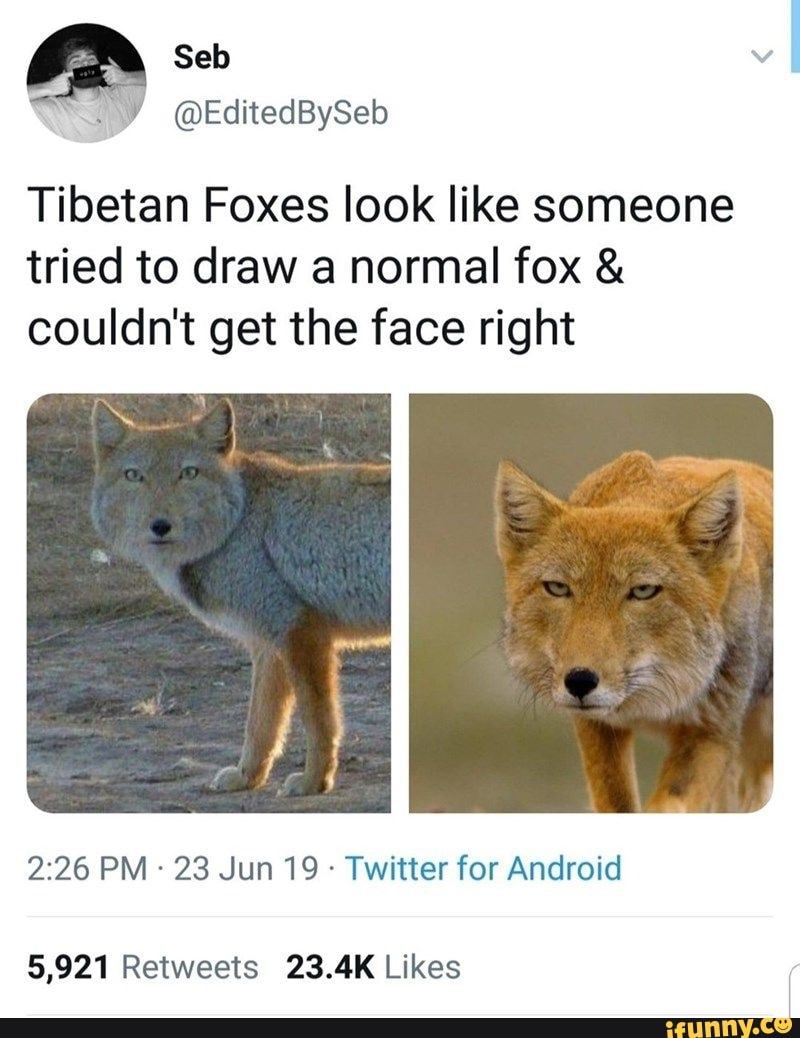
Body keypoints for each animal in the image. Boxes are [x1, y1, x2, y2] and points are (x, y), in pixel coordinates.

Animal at [90, 397, 390, 798]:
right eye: (134, 476)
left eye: (189, 473)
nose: (160, 526)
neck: (238, 522)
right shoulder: (267, 644)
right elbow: (260, 725)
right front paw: (247, 777)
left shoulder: (299, 633)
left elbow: (318, 722)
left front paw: (314, 780)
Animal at [494, 450, 772, 813]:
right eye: (557, 588)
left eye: (642, 591)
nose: (580, 681)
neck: (651, 708)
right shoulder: (596, 725)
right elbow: (617, 804)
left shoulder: (713, 731)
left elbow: (669, 805)